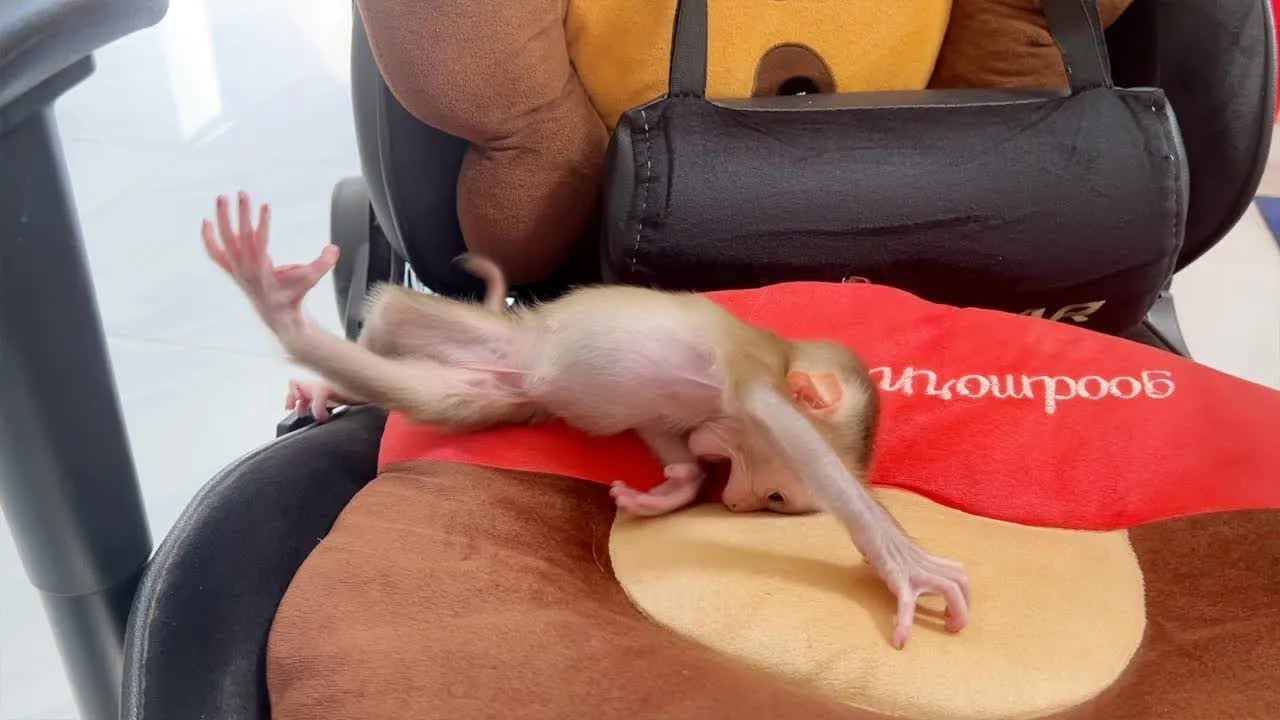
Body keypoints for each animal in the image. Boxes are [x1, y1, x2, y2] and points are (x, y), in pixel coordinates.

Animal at [202, 191, 970, 649]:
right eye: (778, 495)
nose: (736, 502)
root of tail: (516, 345)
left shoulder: (683, 416)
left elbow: (667, 438)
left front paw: (671, 489)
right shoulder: (753, 378)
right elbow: (789, 433)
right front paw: (906, 563)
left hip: (491, 389)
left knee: (437, 392)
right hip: (486, 338)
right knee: (389, 316)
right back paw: (286, 320)